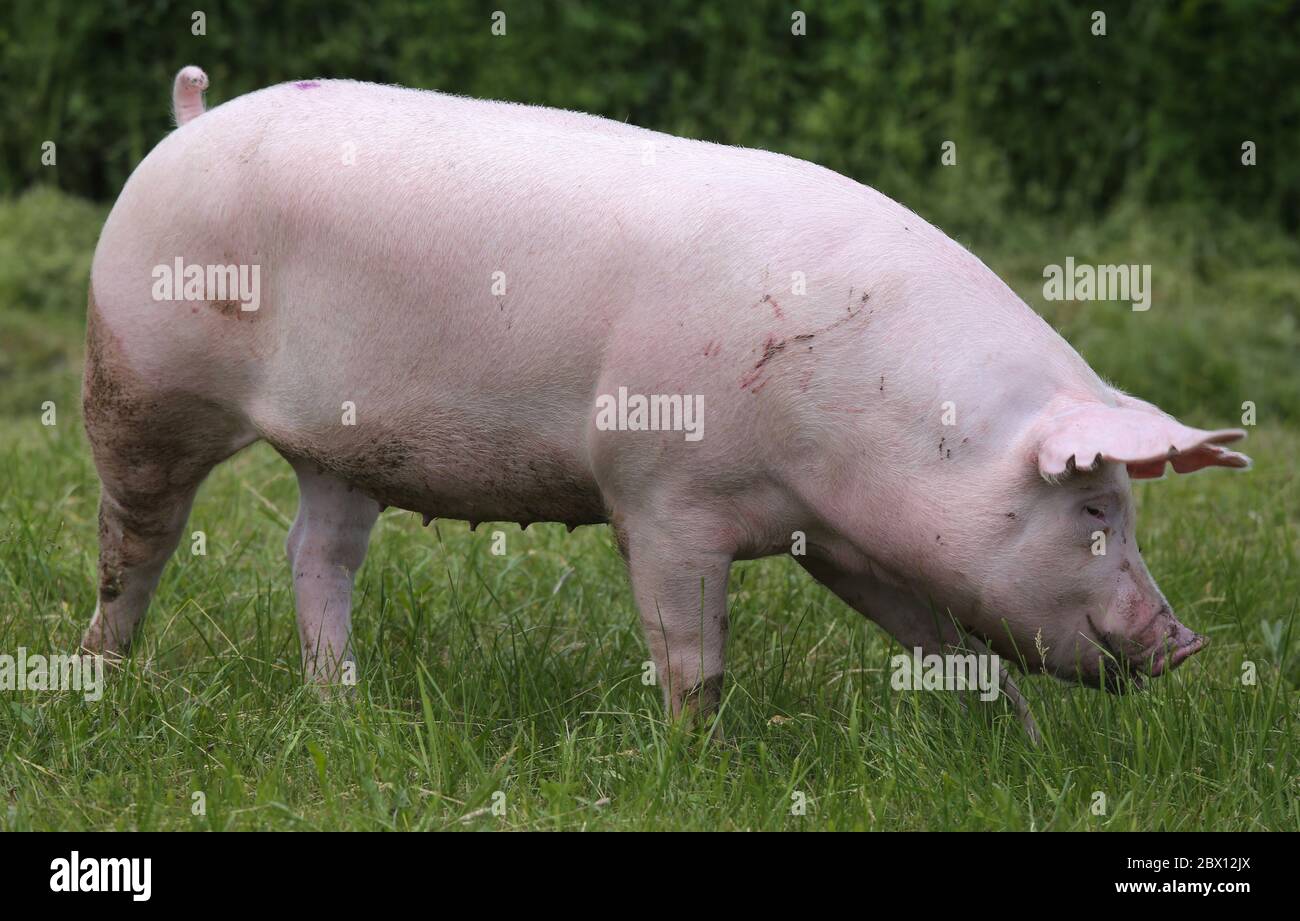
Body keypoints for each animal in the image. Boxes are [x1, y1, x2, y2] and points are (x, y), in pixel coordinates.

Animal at [81, 68, 1250, 739]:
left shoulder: (847, 541)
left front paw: (1019, 745)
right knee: (137, 540)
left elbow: (945, 642)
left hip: (345, 448)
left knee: (313, 556)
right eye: (1093, 510)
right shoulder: (659, 496)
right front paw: (700, 756)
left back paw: (344, 710)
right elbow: (691, 650)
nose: (1186, 642)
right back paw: (101, 676)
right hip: (138, 374)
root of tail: (184, 125)